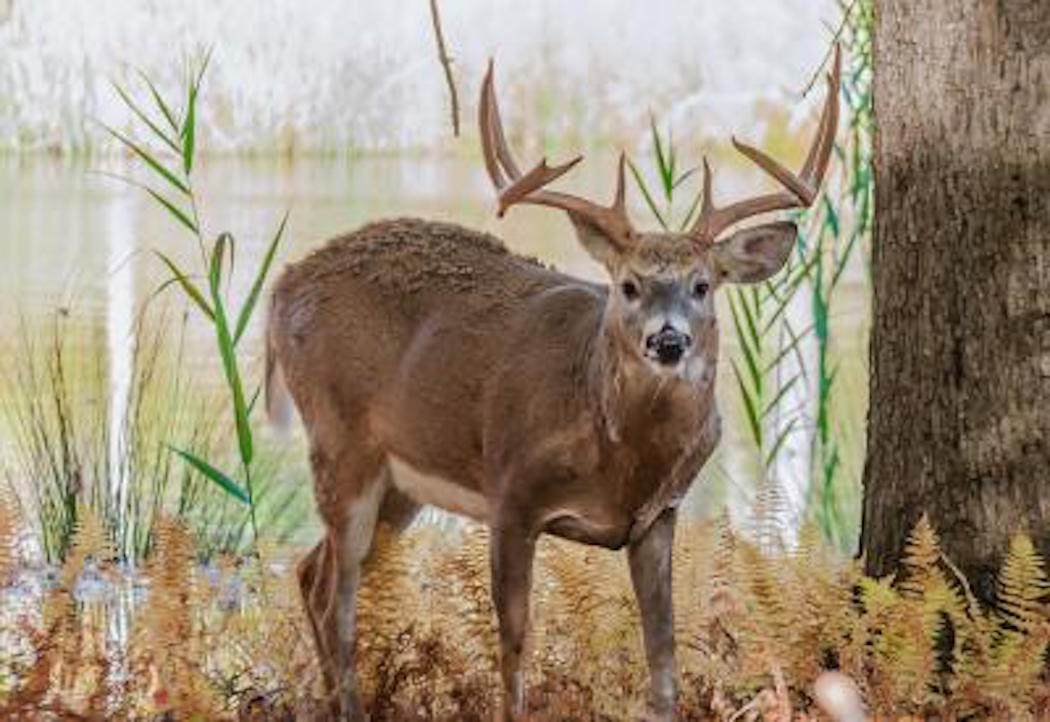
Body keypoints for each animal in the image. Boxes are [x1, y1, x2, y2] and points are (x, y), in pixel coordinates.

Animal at [265, 46, 840, 722]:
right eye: (628, 285)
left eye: (702, 285)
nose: (668, 341)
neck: (617, 459)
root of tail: (283, 285)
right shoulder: (511, 493)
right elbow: (515, 645)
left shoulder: (660, 516)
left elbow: (664, 653)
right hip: (339, 438)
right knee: (335, 593)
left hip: (399, 481)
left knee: (310, 572)